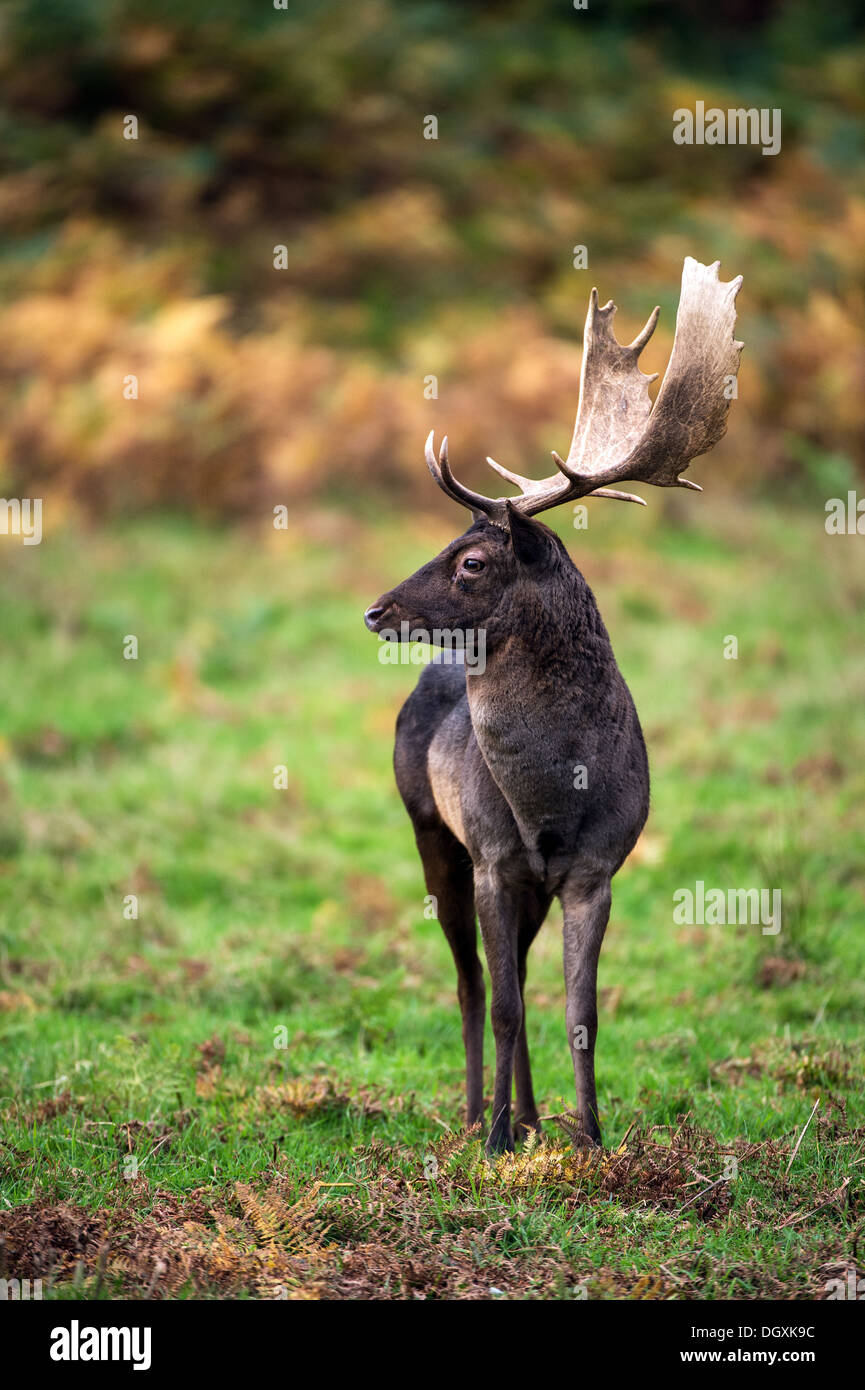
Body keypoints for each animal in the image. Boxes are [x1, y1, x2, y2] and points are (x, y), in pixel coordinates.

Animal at [364, 258, 743, 1154]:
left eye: (470, 561)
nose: (376, 610)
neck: (552, 799)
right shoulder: (494, 856)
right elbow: (504, 1004)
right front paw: (497, 1142)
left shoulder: (595, 870)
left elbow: (580, 1012)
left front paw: (591, 1139)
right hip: (427, 826)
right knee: (470, 979)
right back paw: (479, 1113)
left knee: (513, 975)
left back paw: (532, 1117)